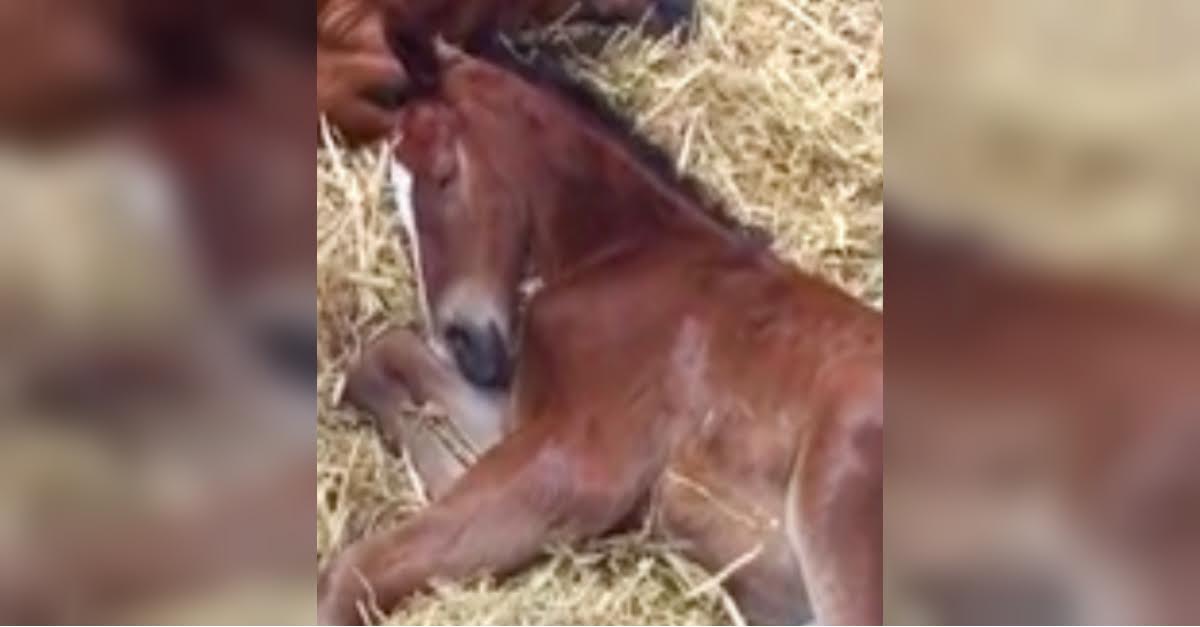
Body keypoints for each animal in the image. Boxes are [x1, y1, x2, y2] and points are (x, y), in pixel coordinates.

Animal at [319, 38, 882, 625]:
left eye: (445, 175)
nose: (464, 345)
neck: (626, 254)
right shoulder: (531, 417)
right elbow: (380, 357)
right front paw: (446, 467)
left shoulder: (583, 461)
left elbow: (354, 573)